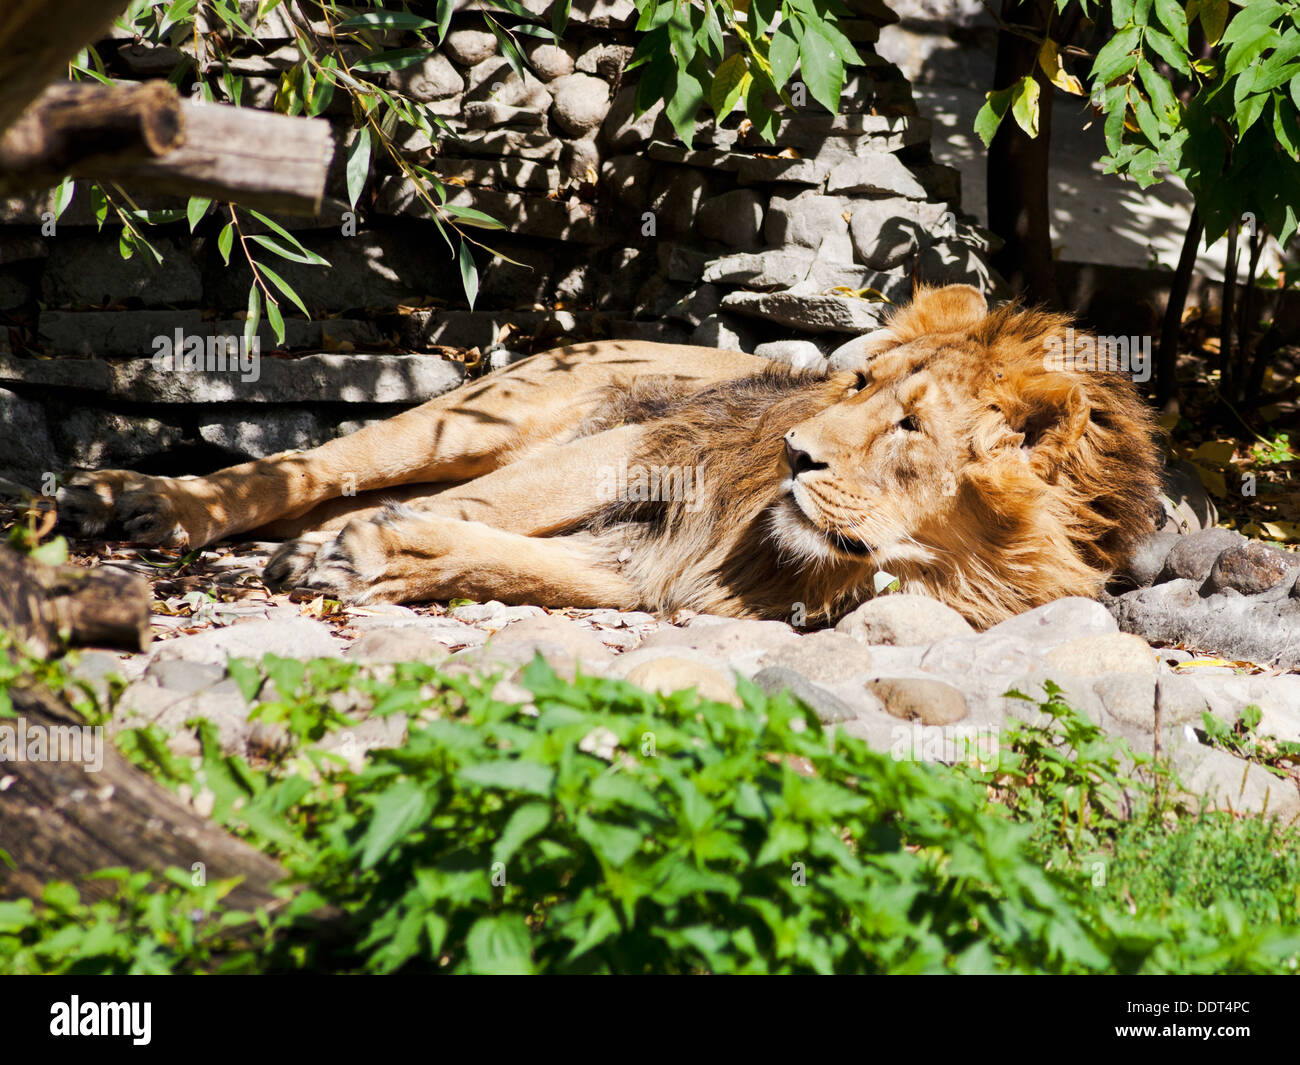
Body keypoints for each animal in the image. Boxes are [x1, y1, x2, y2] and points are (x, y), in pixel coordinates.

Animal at [59, 285, 1162, 628]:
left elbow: (517, 560)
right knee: (315, 467)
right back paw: (138, 500)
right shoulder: (642, 450)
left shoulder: (658, 571)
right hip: (488, 417)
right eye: (858, 387)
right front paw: (368, 546)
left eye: (912, 430)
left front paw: (383, 557)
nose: (795, 453)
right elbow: (494, 514)